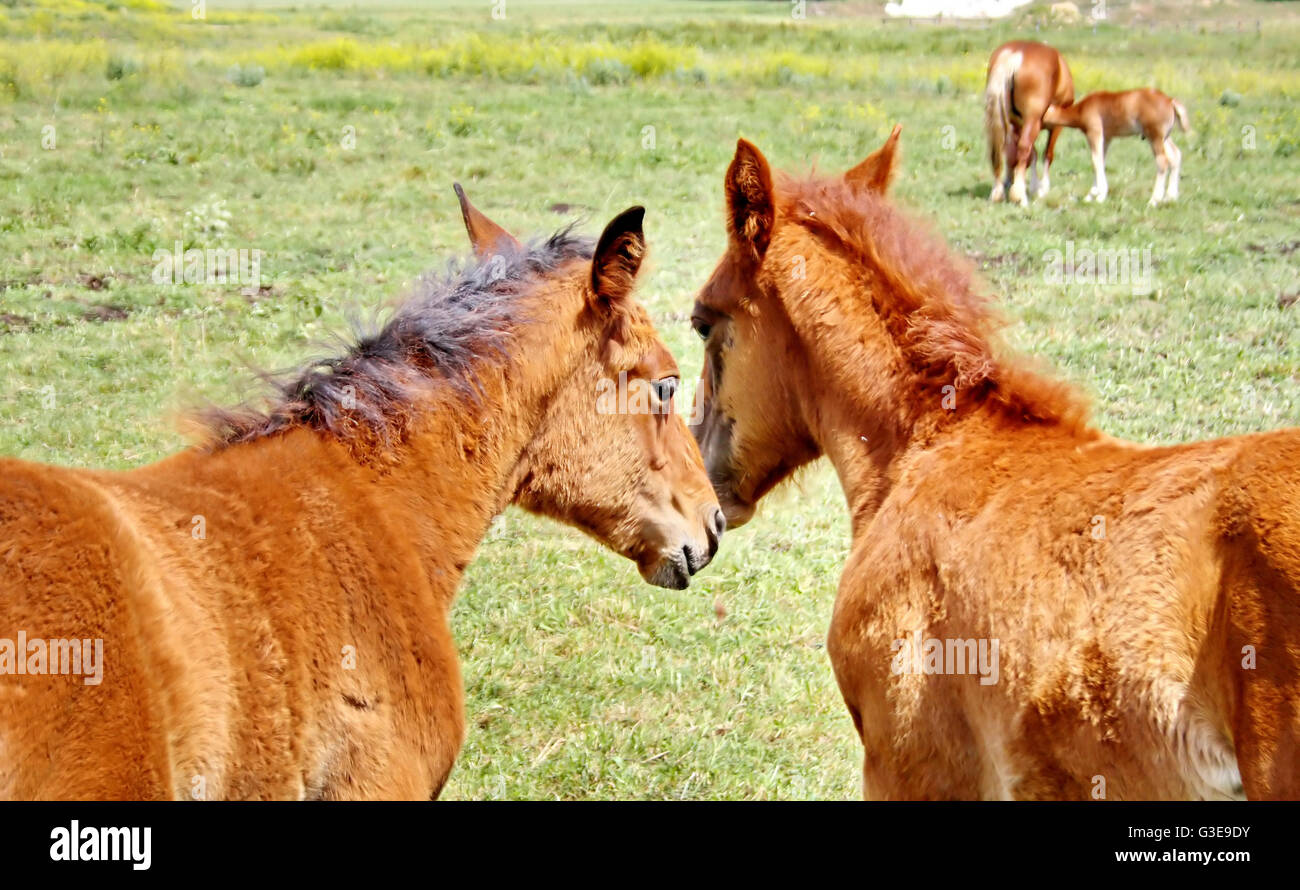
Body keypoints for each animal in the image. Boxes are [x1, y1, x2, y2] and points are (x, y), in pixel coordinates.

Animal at [985, 40, 1074, 207]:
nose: (1008, 181)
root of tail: (1015, 54)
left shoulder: (1018, 125)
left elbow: (1028, 155)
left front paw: (1033, 186)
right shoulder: (1055, 126)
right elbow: (1046, 154)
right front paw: (1042, 188)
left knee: (1001, 149)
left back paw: (998, 192)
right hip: (1033, 121)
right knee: (1024, 147)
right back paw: (1020, 197)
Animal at [1042, 88, 1190, 206]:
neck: (1082, 108)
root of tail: (1170, 100)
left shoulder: (1094, 132)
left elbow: (1095, 161)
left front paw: (1099, 195)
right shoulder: (1107, 137)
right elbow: (1101, 161)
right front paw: (1091, 196)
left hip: (1155, 137)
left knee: (1162, 161)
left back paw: (1154, 200)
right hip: (1165, 137)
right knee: (1176, 155)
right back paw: (1170, 198)